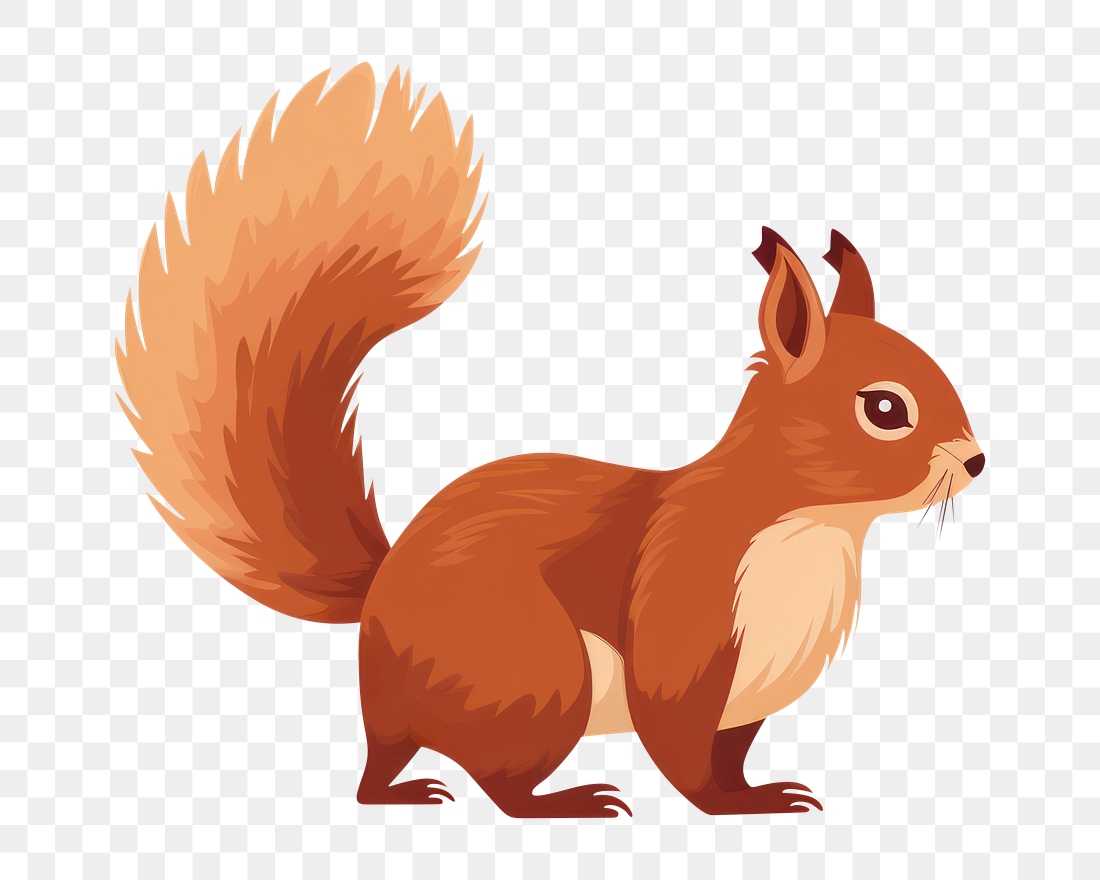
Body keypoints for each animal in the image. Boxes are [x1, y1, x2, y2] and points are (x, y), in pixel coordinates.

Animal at [116, 64, 985, 818]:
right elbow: (681, 750)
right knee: (480, 783)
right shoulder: (683, 625)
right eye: (883, 408)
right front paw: (732, 807)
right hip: (541, 678)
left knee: (377, 767)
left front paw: (756, 789)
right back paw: (555, 803)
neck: (809, 527)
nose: (976, 462)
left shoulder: (752, 695)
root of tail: (381, 593)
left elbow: (730, 751)